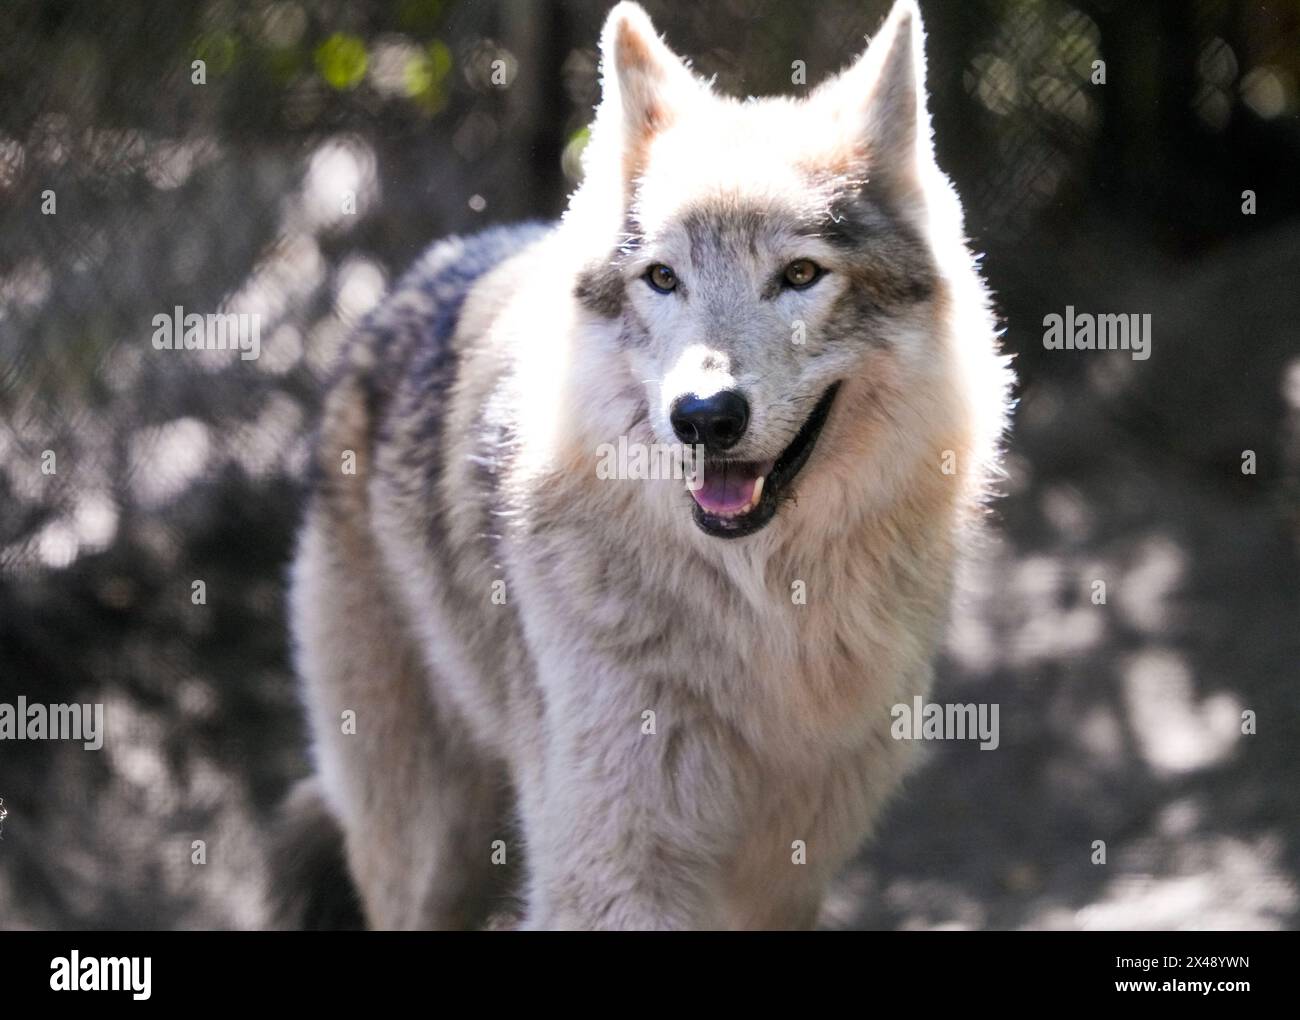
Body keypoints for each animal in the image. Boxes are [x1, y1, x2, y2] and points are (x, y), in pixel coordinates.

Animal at [275, 0, 1013, 930]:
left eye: (801, 274)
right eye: (663, 278)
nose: (704, 418)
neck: (770, 620)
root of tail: (416, 278)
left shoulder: (785, 875)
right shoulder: (614, 869)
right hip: (429, 855)